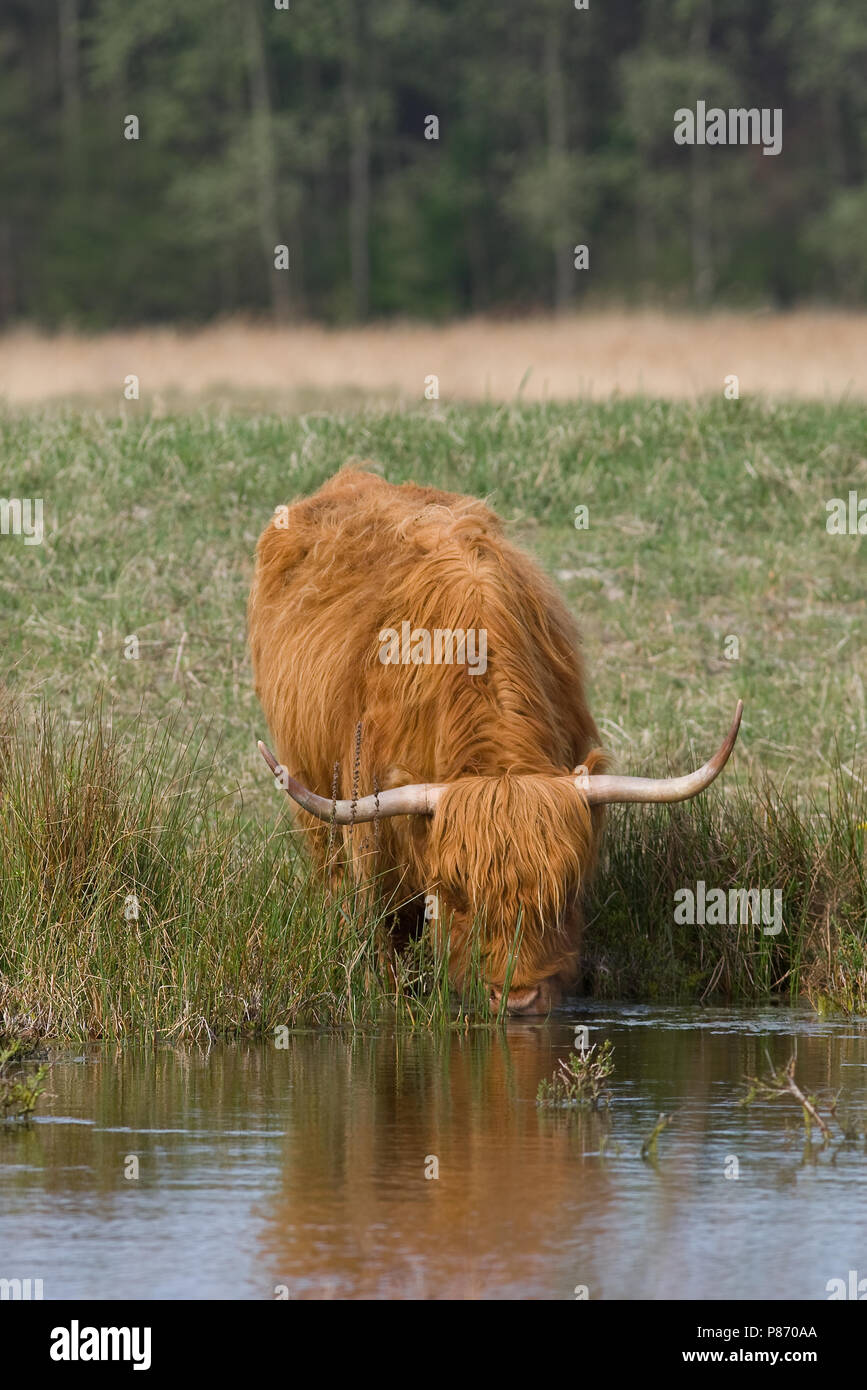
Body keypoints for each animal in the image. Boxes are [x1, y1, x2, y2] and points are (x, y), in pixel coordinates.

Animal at [249, 465, 741, 1015]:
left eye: (563, 893)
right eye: (458, 894)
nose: (519, 998)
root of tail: (353, 476)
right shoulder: (372, 839)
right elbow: (386, 933)